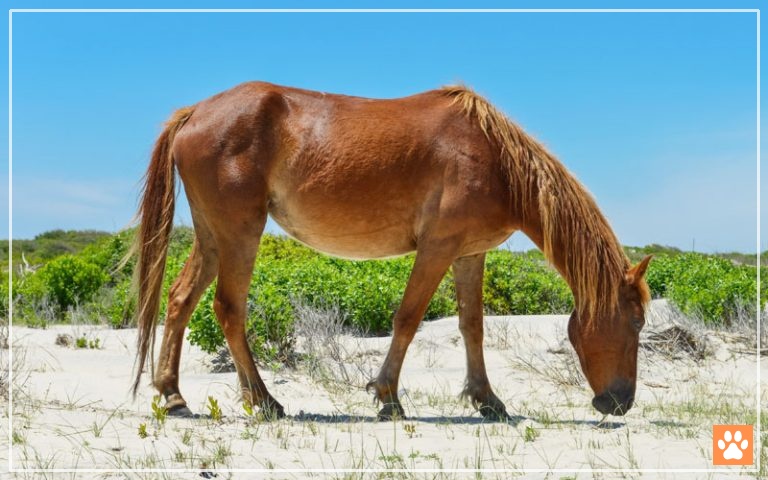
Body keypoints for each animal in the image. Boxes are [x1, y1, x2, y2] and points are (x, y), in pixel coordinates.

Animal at [131, 81, 651, 421]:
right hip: (240, 232)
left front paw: (488, 400)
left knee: (180, 300)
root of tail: (194, 113)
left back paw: (174, 397)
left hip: (212, 236)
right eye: (636, 322)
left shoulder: (469, 254)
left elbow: (473, 326)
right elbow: (408, 318)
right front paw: (388, 397)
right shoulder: (437, 248)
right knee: (229, 309)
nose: (619, 402)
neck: (496, 160)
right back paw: (265, 401)